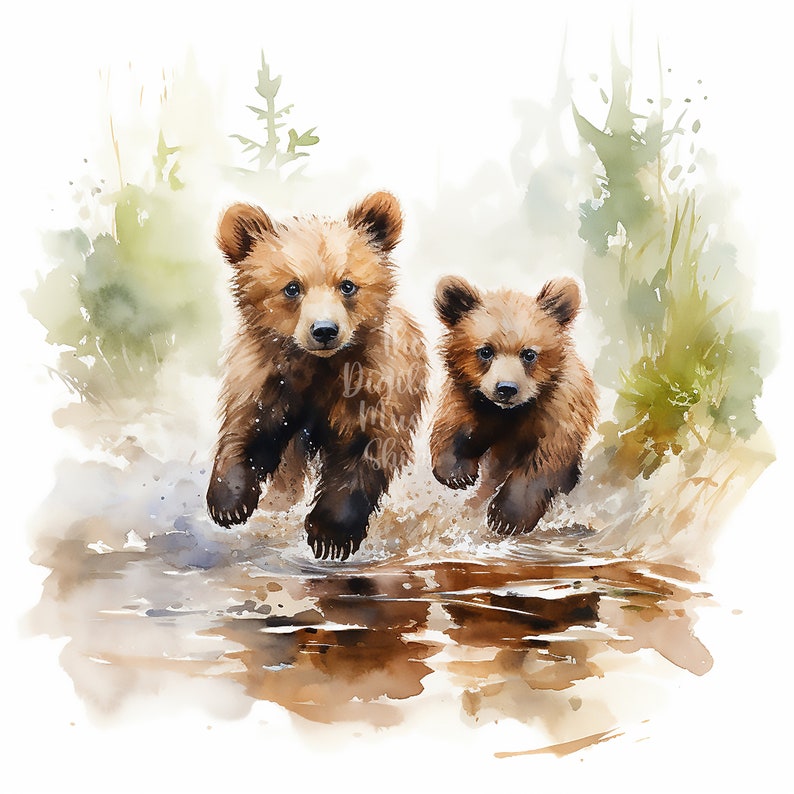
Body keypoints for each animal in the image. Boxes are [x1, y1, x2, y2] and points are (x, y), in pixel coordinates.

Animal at [206, 191, 428, 561]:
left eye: (348, 285)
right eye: (292, 287)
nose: (324, 330)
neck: (319, 367)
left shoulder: (372, 384)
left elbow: (363, 452)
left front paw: (330, 534)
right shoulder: (267, 378)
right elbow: (249, 428)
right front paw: (228, 502)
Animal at [430, 275, 597, 534]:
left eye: (529, 354)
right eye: (485, 351)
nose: (506, 388)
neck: (510, 413)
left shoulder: (558, 412)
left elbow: (545, 460)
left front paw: (506, 517)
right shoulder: (471, 400)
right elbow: (454, 425)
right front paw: (457, 473)